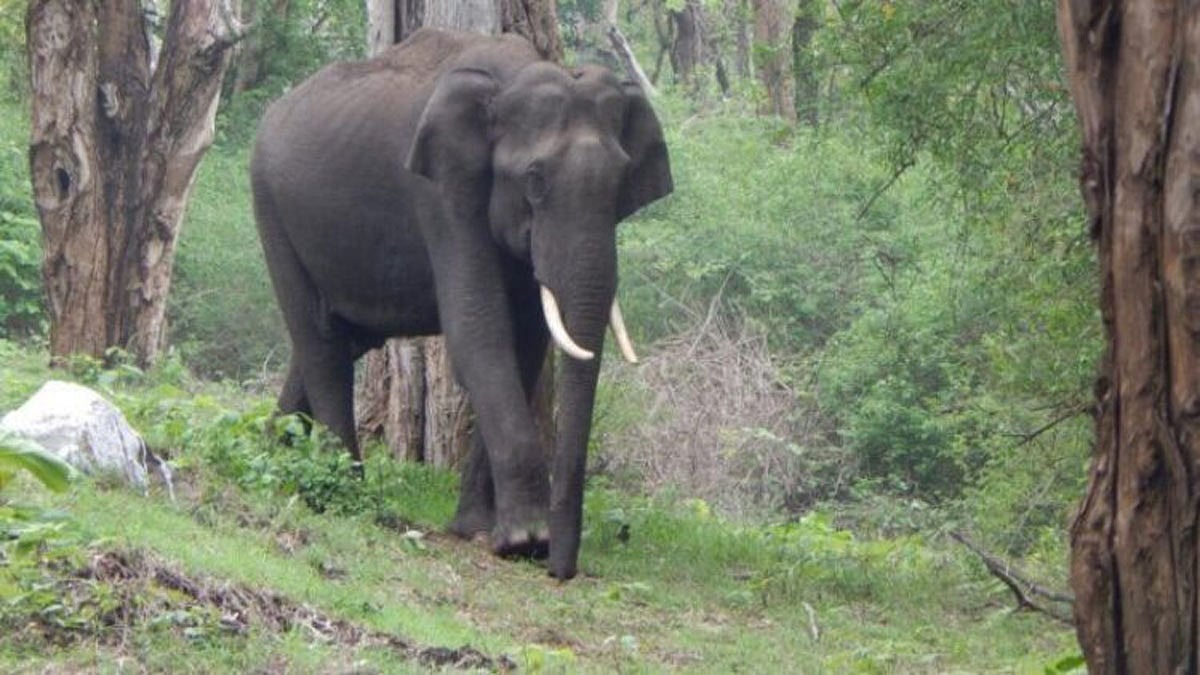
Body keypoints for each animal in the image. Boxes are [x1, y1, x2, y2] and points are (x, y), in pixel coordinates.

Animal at [250, 28, 672, 579]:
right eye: (534, 180)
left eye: (622, 182)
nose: (559, 570)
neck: (512, 75)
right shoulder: (445, 190)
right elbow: (478, 330)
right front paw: (524, 540)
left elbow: (525, 344)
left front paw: (476, 530)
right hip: (271, 209)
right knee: (320, 341)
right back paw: (344, 491)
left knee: (340, 340)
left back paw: (273, 453)